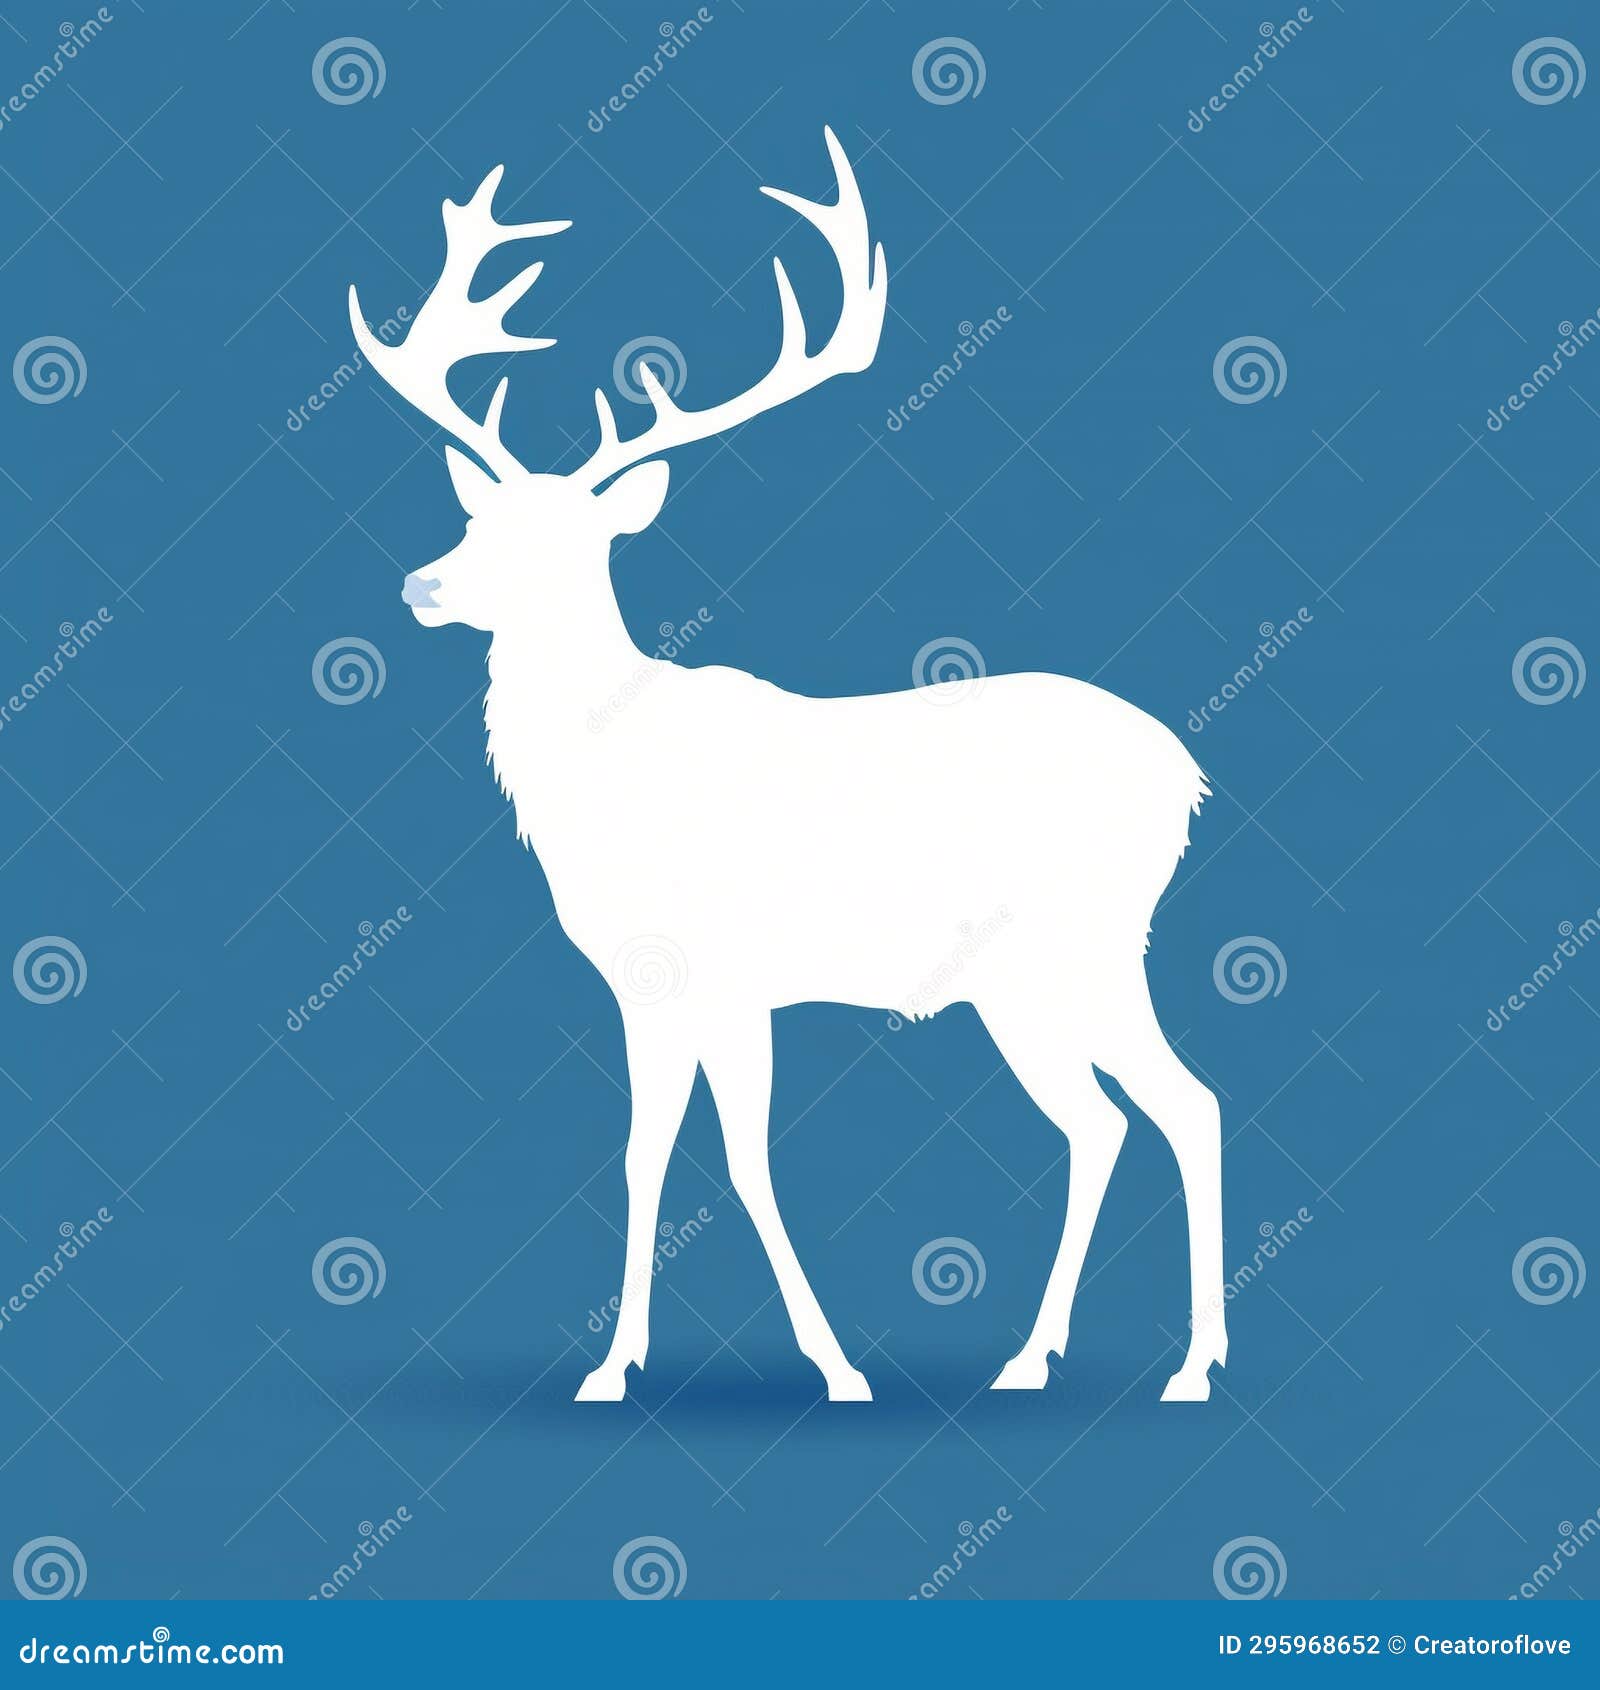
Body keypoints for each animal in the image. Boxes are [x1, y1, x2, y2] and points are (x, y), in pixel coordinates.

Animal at [348, 127, 1227, 1407]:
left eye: (568, 542)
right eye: (478, 519)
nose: (423, 584)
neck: (603, 788)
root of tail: (1188, 775)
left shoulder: (728, 977)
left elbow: (746, 1160)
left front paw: (835, 1365)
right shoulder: (645, 986)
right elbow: (644, 1155)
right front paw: (612, 1367)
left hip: (1092, 942)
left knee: (1183, 1104)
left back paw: (1189, 1366)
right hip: (1019, 986)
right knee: (1100, 1121)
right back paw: (1031, 1357)